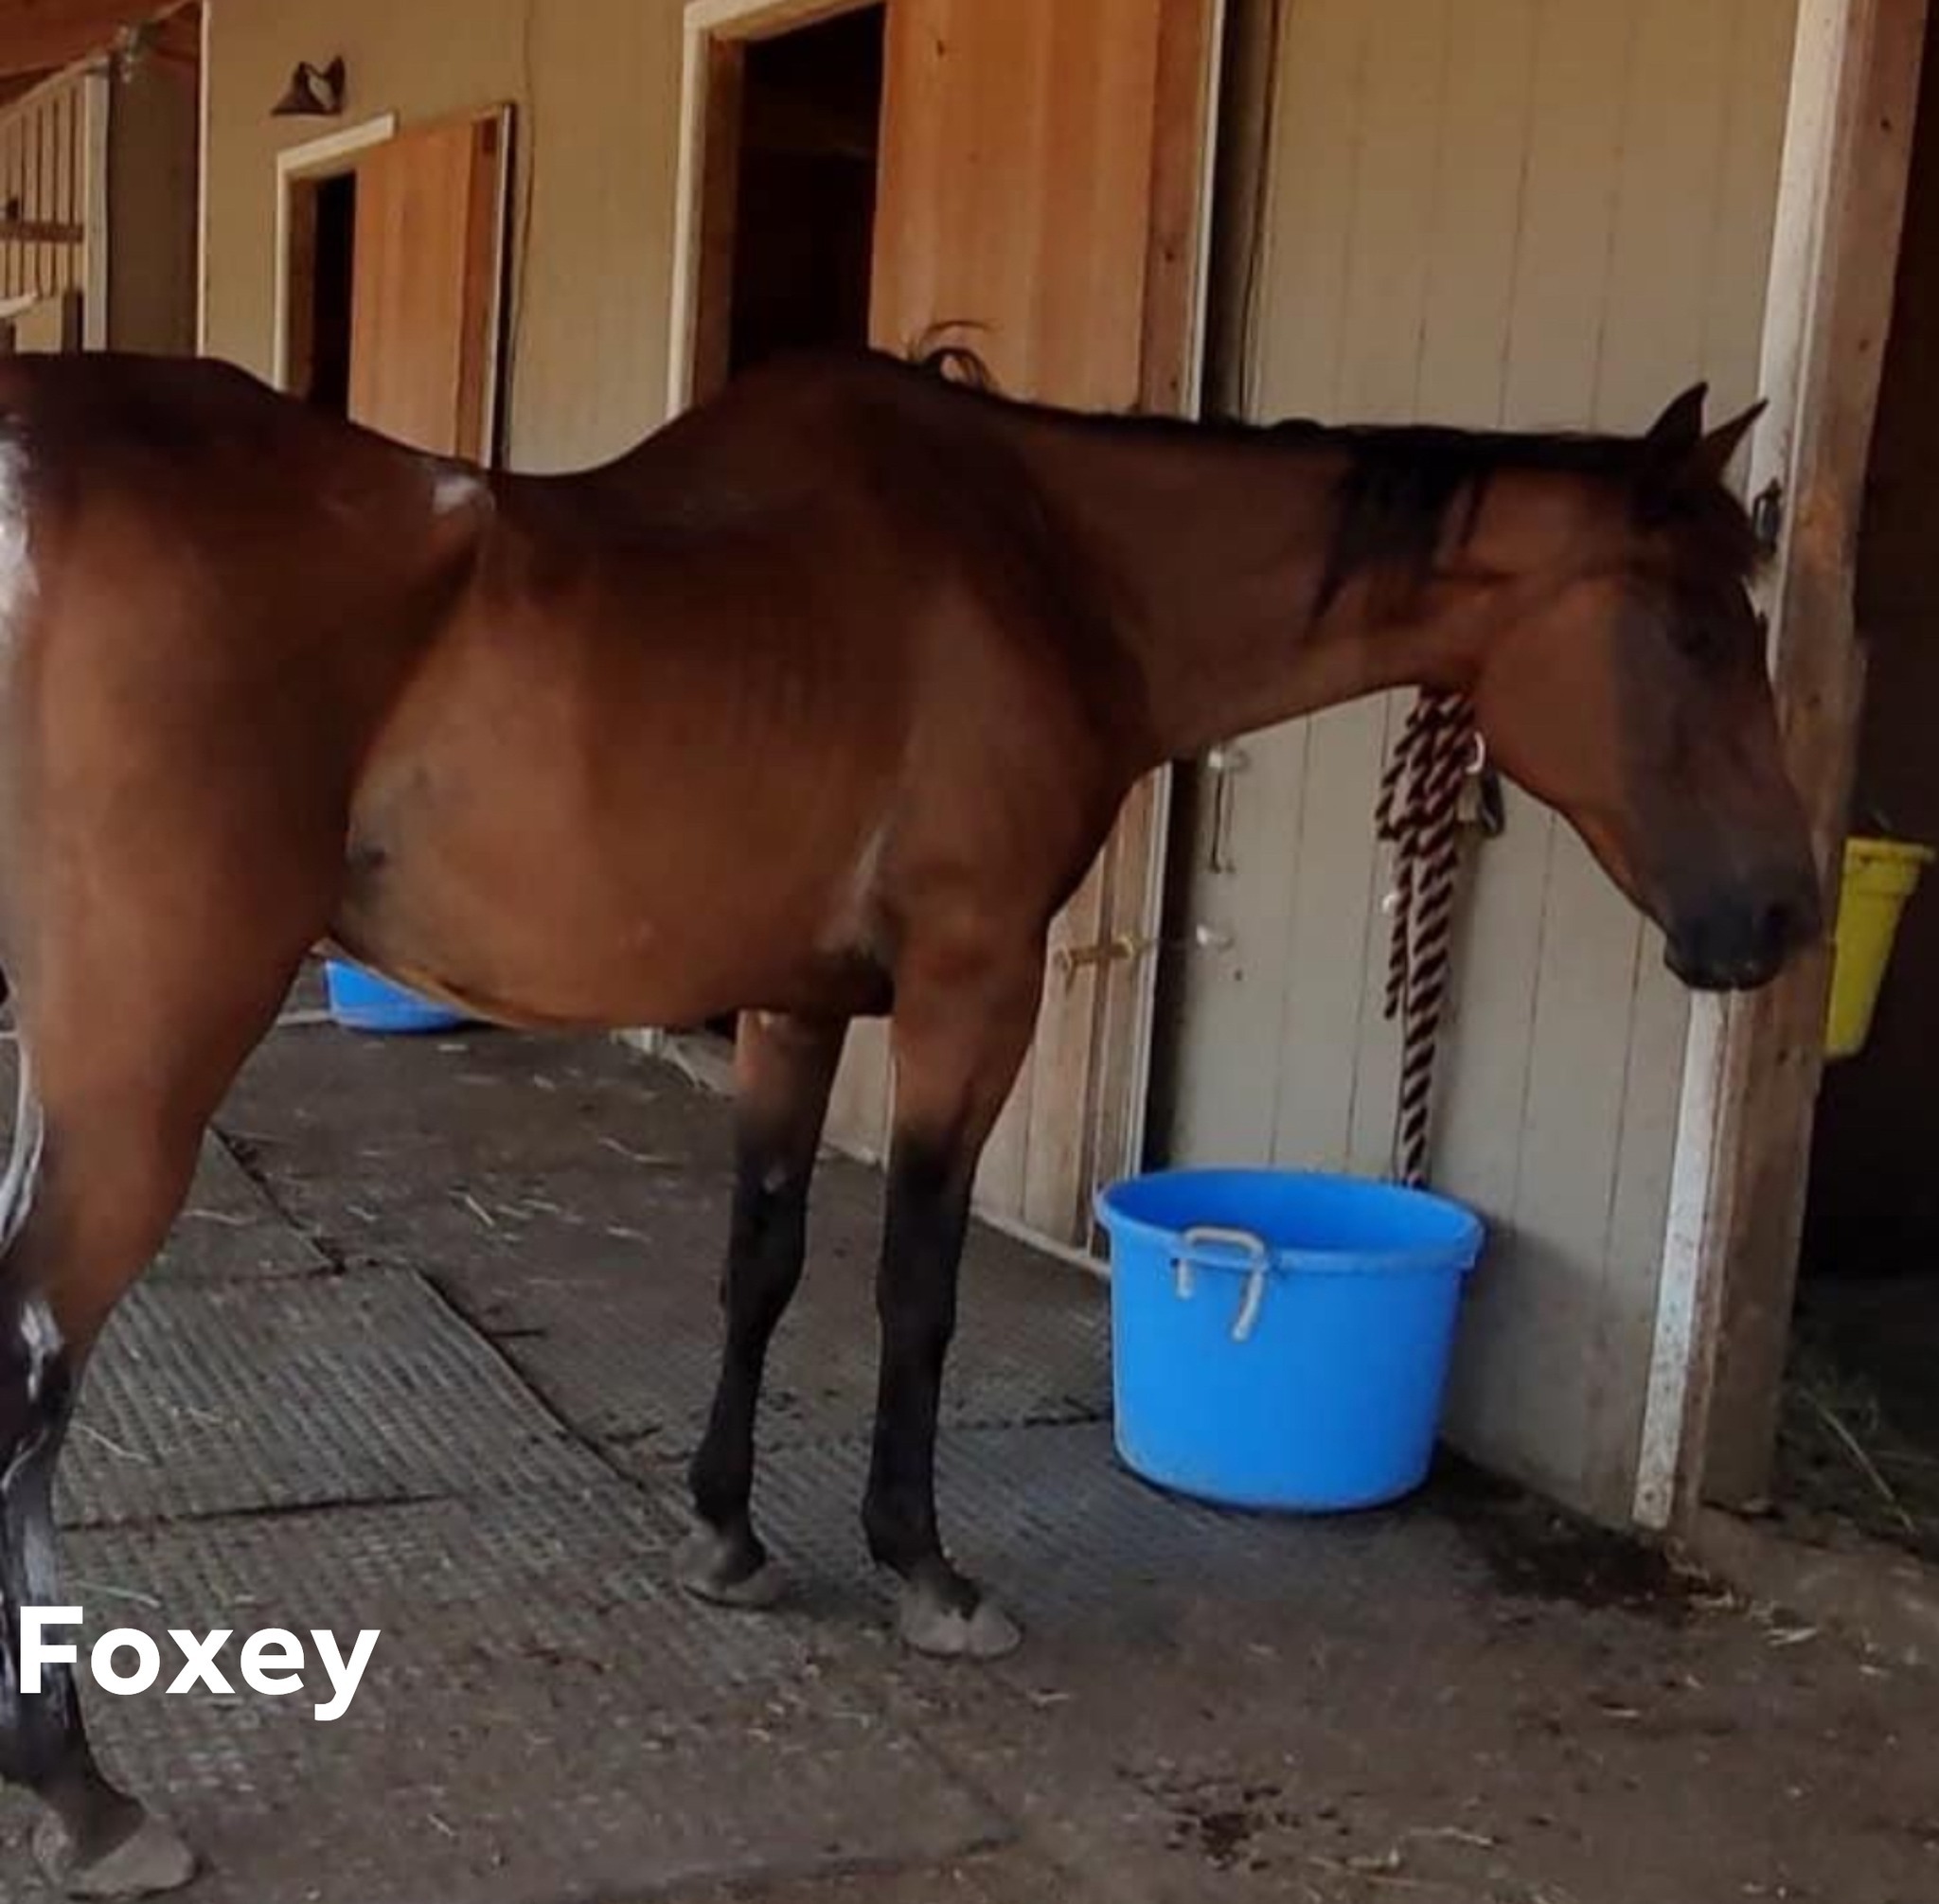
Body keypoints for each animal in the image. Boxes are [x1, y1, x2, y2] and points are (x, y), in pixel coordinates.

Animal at [0, 343, 1819, 1896]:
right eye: (1693, 630)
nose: (1782, 919)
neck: (1049, 560)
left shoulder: (793, 1006)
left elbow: (764, 1259)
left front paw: (726, 1534)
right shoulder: (968, 992)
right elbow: (914, 1286)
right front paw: (926, 1572)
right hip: (141, 1065)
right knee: (34, 1362)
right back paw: (87, 1796)